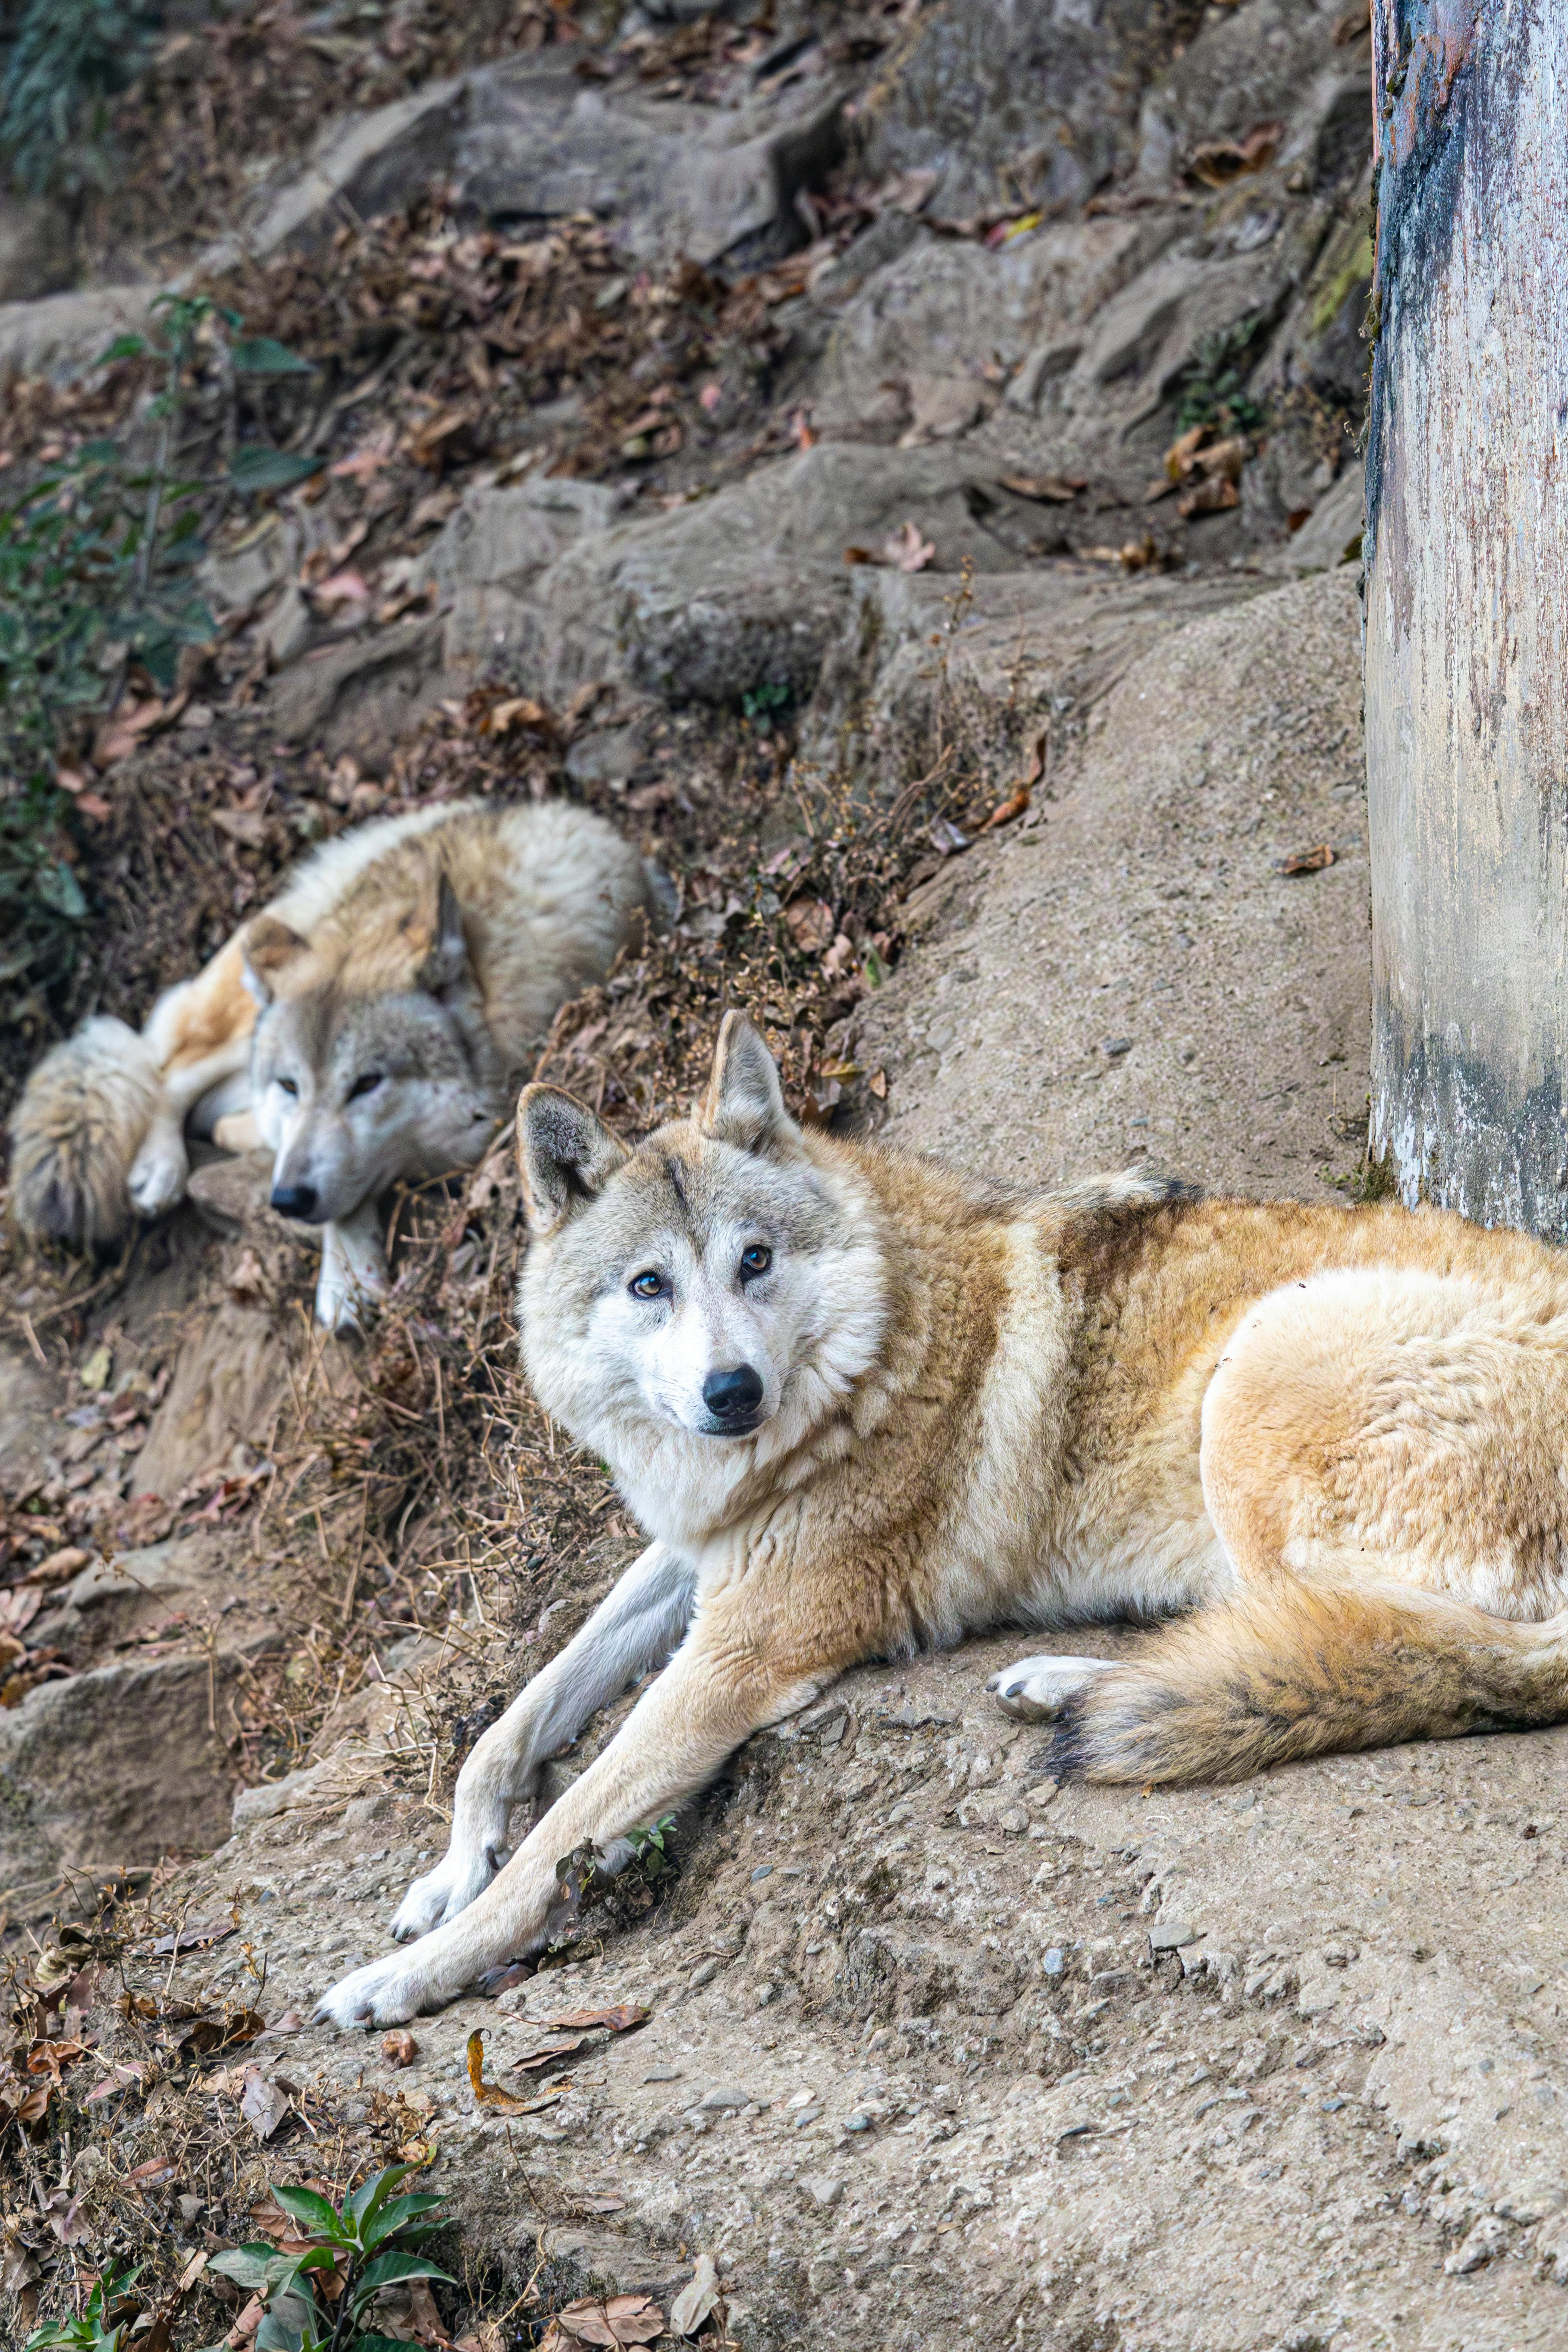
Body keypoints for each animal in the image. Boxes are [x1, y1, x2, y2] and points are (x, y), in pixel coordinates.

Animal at [10, 800, 657, 1330]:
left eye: (367, 1084)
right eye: (292, 1084)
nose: (287, 1200)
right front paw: (346, 1278)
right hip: (238, 1022)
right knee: (169, 1071)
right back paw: (160, 1169)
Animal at [316, 1011, 1568, 2026]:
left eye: (753, 1260)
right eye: (648, 1285)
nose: (731, 1392)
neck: (866, 1354)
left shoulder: (738, 1651)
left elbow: (559, 1833)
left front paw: (407, 1975)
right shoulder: (697, 1556)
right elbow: (512, 1721)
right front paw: (449, 1870)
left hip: (1255, 1376)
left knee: (1377, 1643)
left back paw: (1080, 1684)